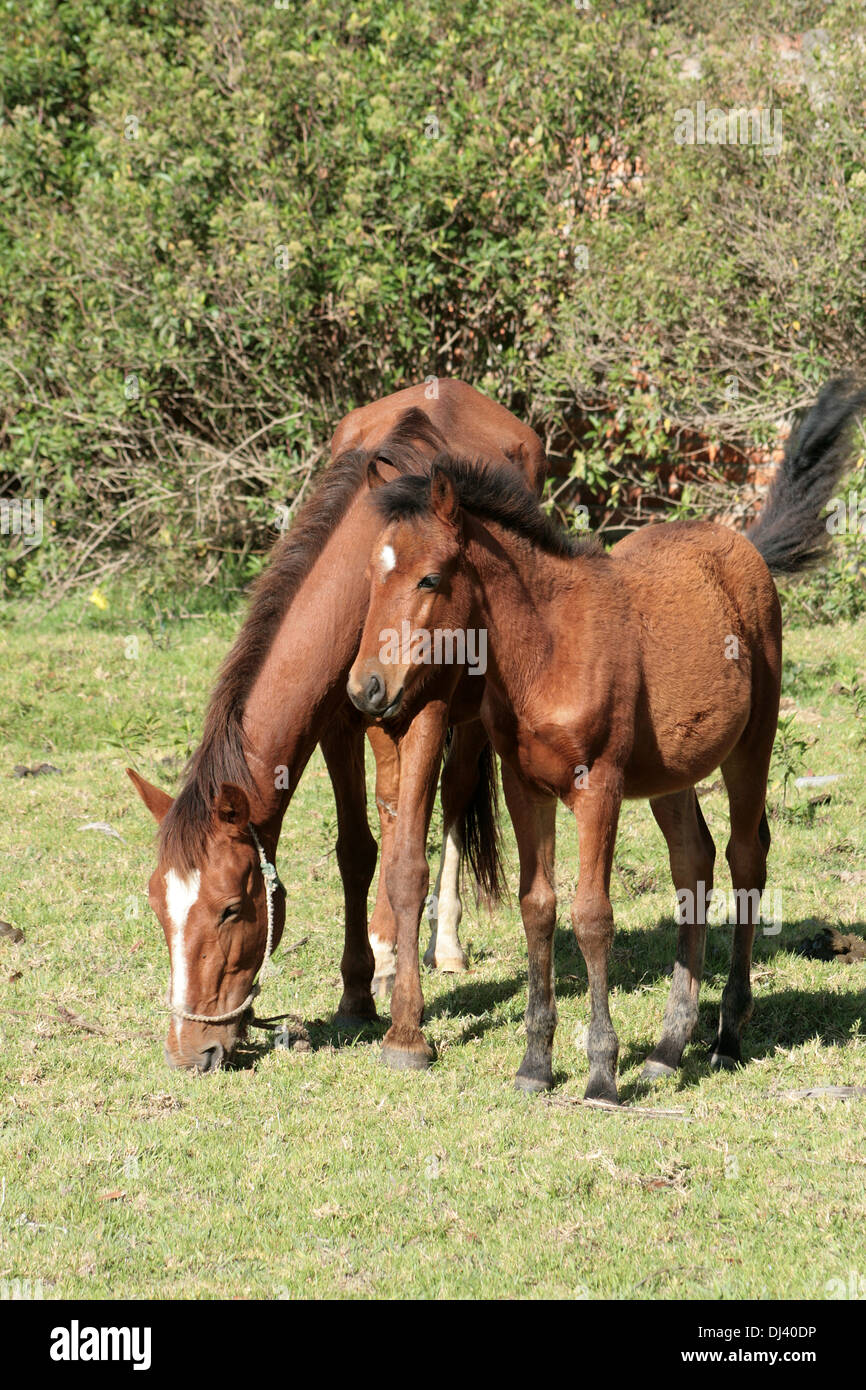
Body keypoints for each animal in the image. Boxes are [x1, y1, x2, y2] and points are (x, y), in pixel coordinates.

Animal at [128, 380, 546, 1071]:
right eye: (160, 909)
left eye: (230, 909)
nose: (191, 1052)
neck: (362, 583)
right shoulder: (338, 725)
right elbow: (359, 852)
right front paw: (357, 992)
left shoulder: (425, 713)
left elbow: (407, 862)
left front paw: (406, 1030)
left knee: (452, 798)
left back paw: (443, 944)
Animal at [347, 377, 866, 1101]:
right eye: (373, 574)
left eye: (429, 578)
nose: (365, 689)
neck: (548, 651)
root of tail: (746, 549)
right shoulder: (525, 787)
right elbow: (537, 907)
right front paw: (535, 1064)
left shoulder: (600, 787)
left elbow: (592, 916)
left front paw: (599, 1072)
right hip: (673, 772)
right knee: (693, 862)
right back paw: (670, 1048)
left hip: (751, 745)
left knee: (745, 859)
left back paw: (727, 1034)